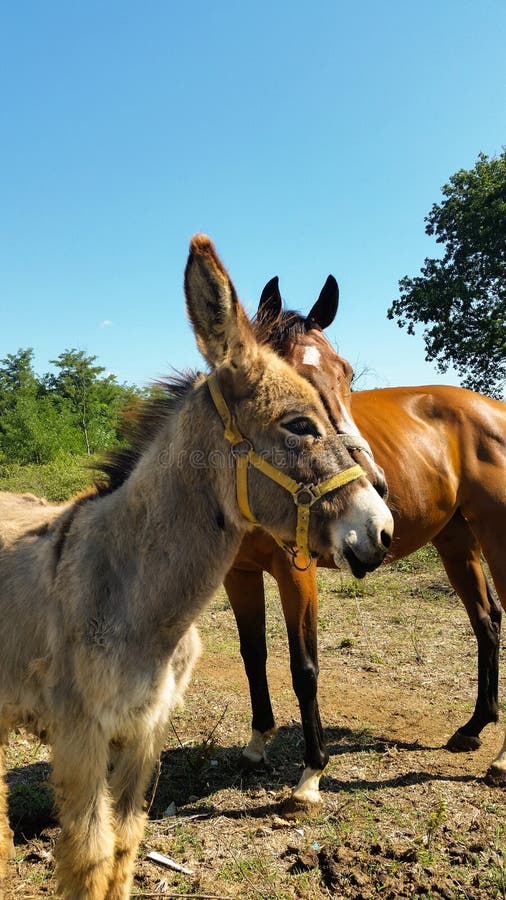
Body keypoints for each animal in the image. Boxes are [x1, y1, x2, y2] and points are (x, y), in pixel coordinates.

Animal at [0, 237, 393, 898]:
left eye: (347, 379)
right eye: (300, 424)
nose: (383, 528)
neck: (132, 591)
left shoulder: (146, 733)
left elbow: (123, 851)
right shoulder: (80, 740)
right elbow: (90, 861)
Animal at [224, 275, 506, 811]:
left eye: (348, 374)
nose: (375, 487)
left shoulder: (296, 571)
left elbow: (304, 666)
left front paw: (310, 775)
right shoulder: (239, 574)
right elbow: (253, 656)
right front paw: (255, 744)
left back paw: (501, 760)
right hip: (457, 540)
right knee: (487, 621)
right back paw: (475, 727)